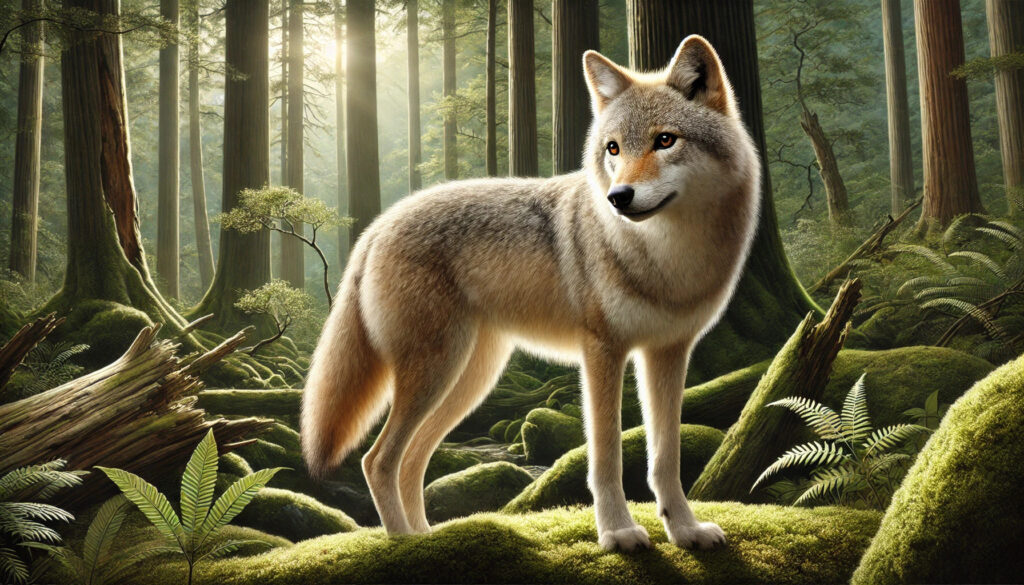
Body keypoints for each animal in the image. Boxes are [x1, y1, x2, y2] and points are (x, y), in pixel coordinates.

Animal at [302, 35, 760, 552]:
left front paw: (685, 531)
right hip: (437, 373)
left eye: (665, 140)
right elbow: (606, 456)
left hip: (467, 380)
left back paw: (428, 537)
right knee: (378, 460)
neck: (665, 258)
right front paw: (618, 533)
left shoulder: (668, 354)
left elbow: (665, 458)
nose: (618, 197)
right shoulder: (603, 352)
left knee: (411, 461)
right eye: (613, 148)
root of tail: (378, 225)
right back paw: (406, 545)